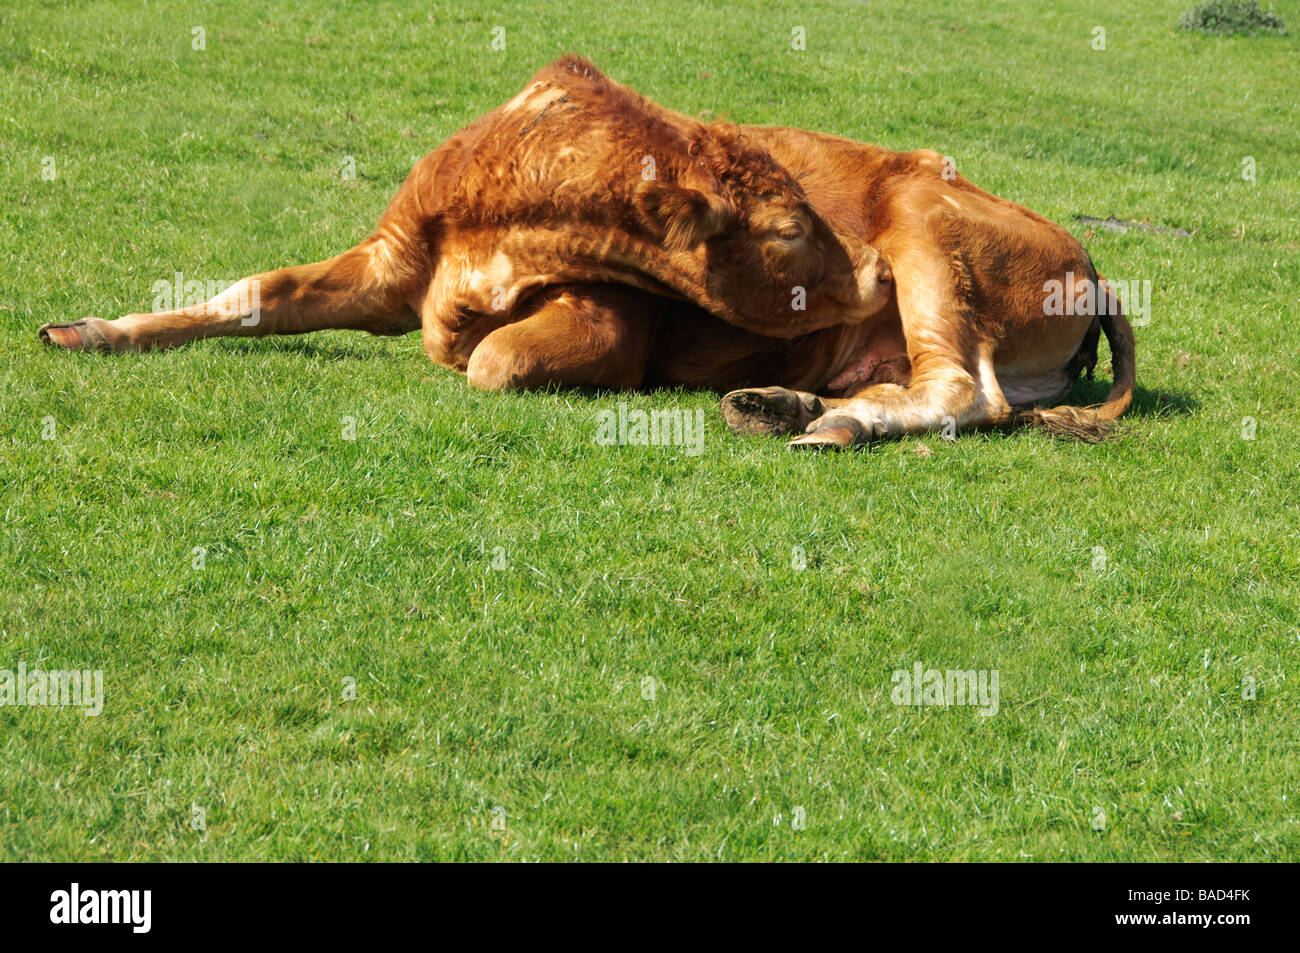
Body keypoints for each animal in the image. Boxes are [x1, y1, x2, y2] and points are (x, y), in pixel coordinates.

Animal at [40, 56, 1133, 448]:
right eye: (787, 230)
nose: (865, 270)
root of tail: (1092, 262)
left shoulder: (611, 318)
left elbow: (492, 358)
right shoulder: (392, 261)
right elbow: (254, 290)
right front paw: (96, 329)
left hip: (922, 221)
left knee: (962, 393)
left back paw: (835, 423)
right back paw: (783, 404)